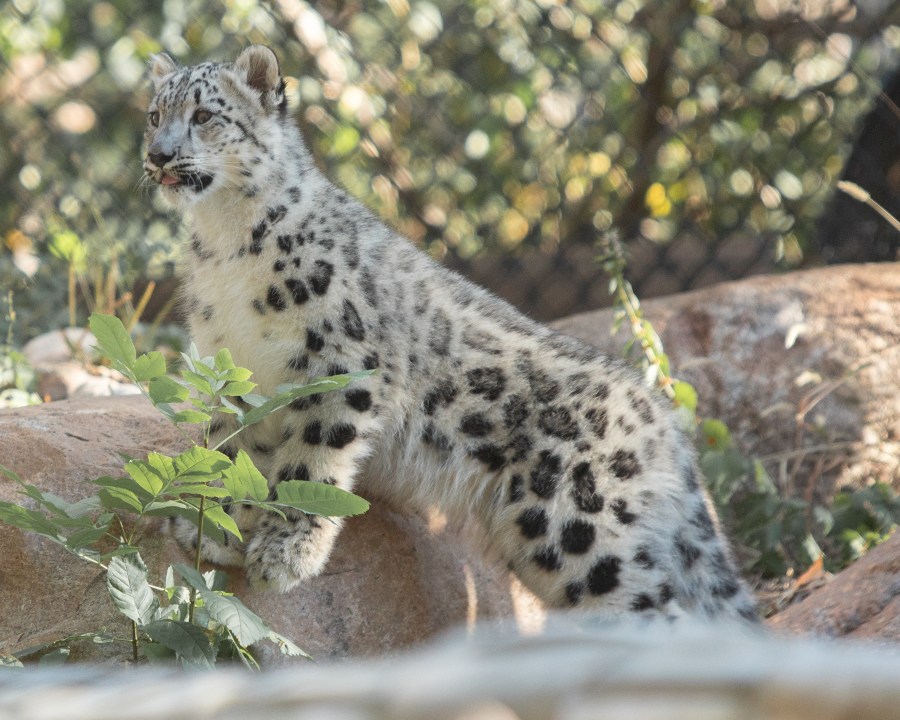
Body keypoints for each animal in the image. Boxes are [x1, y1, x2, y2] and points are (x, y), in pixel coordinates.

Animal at [143, 45, 757, 621]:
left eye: (203, 115)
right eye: (154, 115)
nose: (158, 155)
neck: (224, 242)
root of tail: (662, 419)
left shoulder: (343, 363)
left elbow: (310, 460)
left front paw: (286, 552)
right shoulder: (232, 366)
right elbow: (233, 450)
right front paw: (216, 524)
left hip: (575, 525)